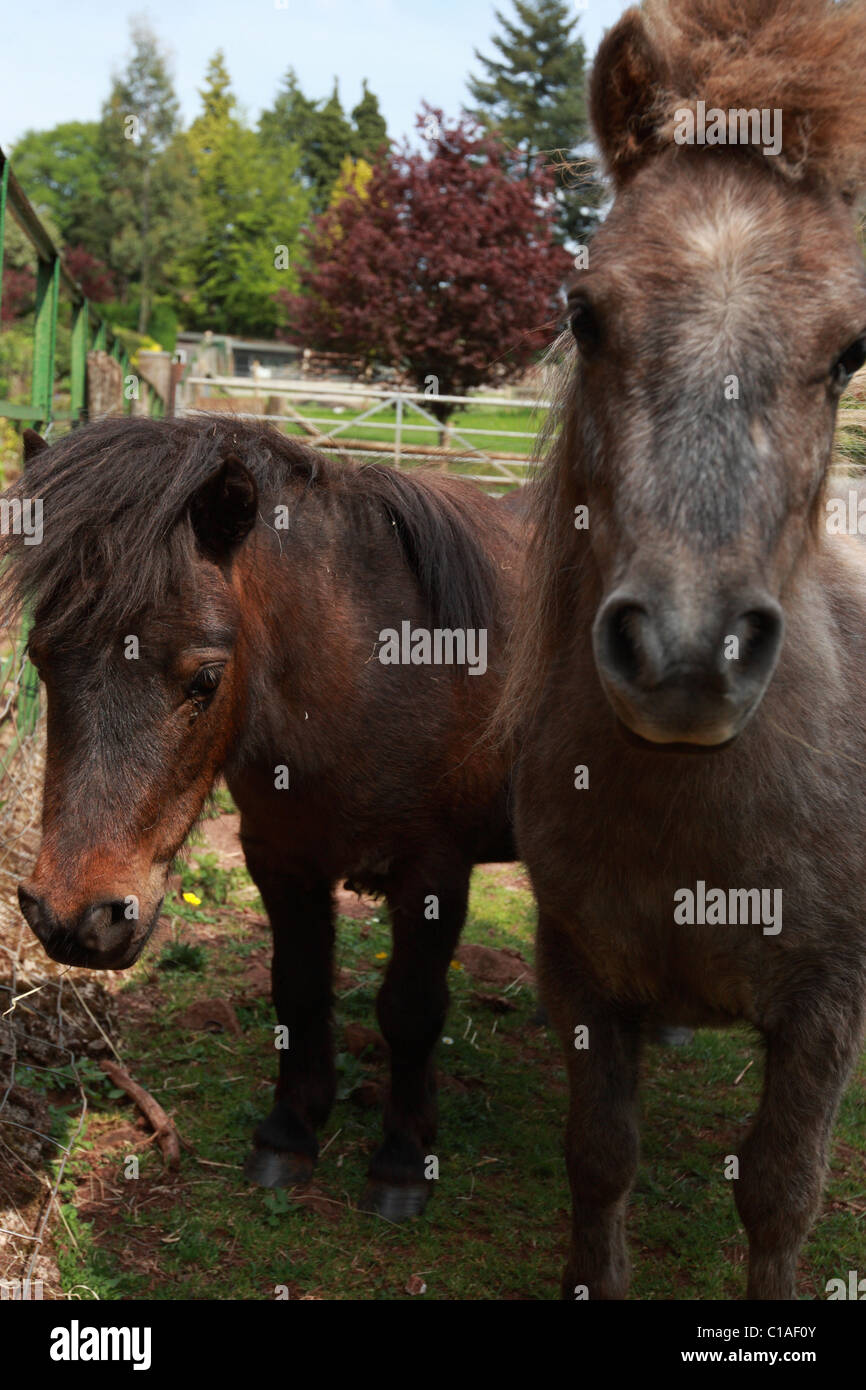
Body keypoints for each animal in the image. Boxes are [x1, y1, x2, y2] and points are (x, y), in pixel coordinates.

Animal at [0, 415, 519, 1221]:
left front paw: (402, 1161)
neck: (375, 676)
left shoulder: (436, 873)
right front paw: (289, 1135)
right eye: (41, 656)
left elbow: (410, 1009)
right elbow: (298, 989)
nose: (74, 919)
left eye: (207, 679)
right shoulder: (280, 858)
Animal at [500, 0, 866, 1298]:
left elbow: (778, 1193)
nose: (686, 652)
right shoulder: (580, 974)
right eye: (583, 311)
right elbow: (598, 1154)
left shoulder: (824, 1009)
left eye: (851, 351)